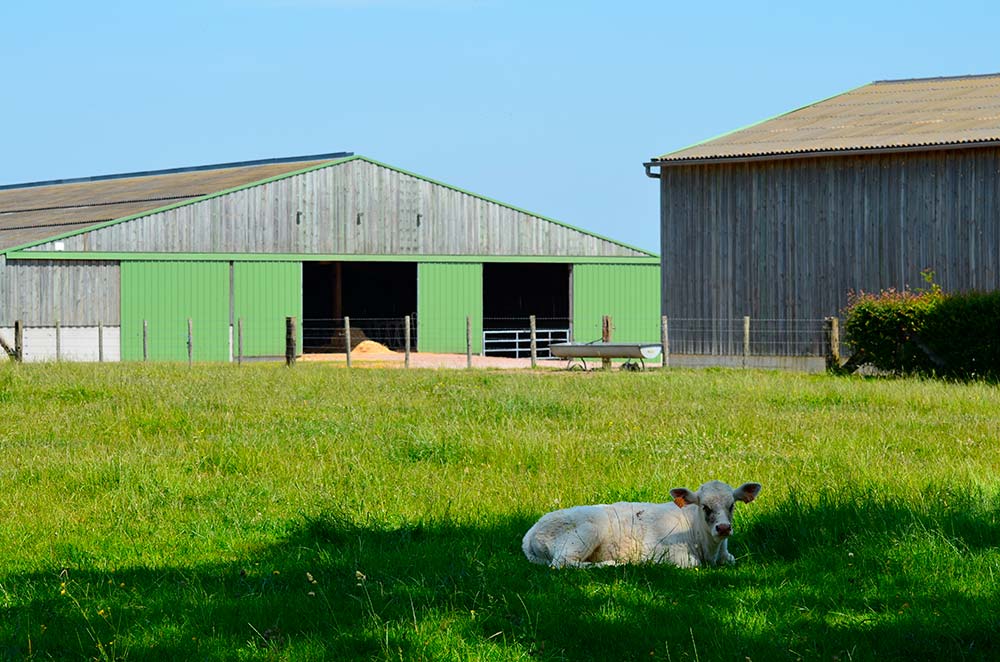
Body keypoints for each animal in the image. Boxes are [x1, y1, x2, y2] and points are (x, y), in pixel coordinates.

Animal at [520, 482, 760, 572]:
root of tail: (529, 534)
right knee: (562, 563)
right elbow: (691, 564)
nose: (723, 528)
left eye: (732, 505)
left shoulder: (726, 556)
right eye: (705, 507)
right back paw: (613, 563)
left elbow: (731, 559)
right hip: (587, 532)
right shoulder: (665, 552)